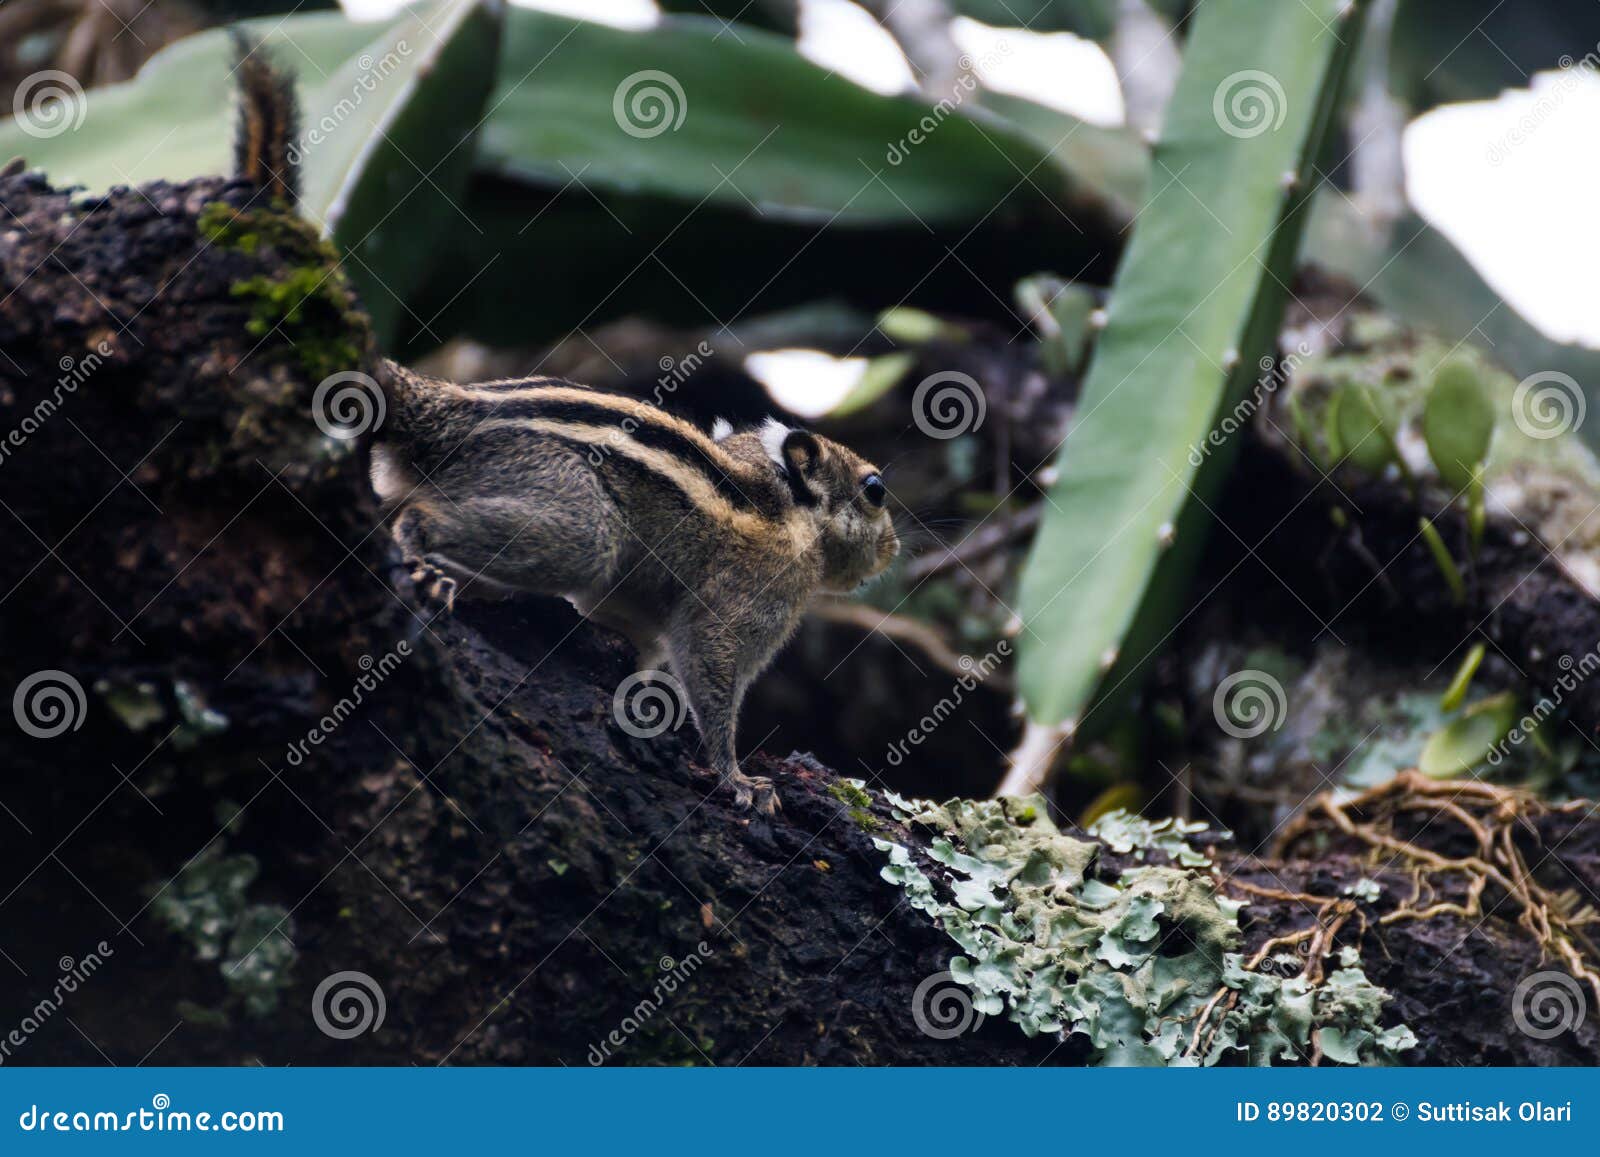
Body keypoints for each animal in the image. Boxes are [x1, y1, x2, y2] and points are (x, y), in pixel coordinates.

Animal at [228, 36, 900, 814]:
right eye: (875, 490)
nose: (894, 549)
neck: (783, 505)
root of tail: (450, 411)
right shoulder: (744, 604)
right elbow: (711, 675)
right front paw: (738, 777)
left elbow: (642, 645)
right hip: (573, 520)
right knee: (424, 520)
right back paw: (427, 564)